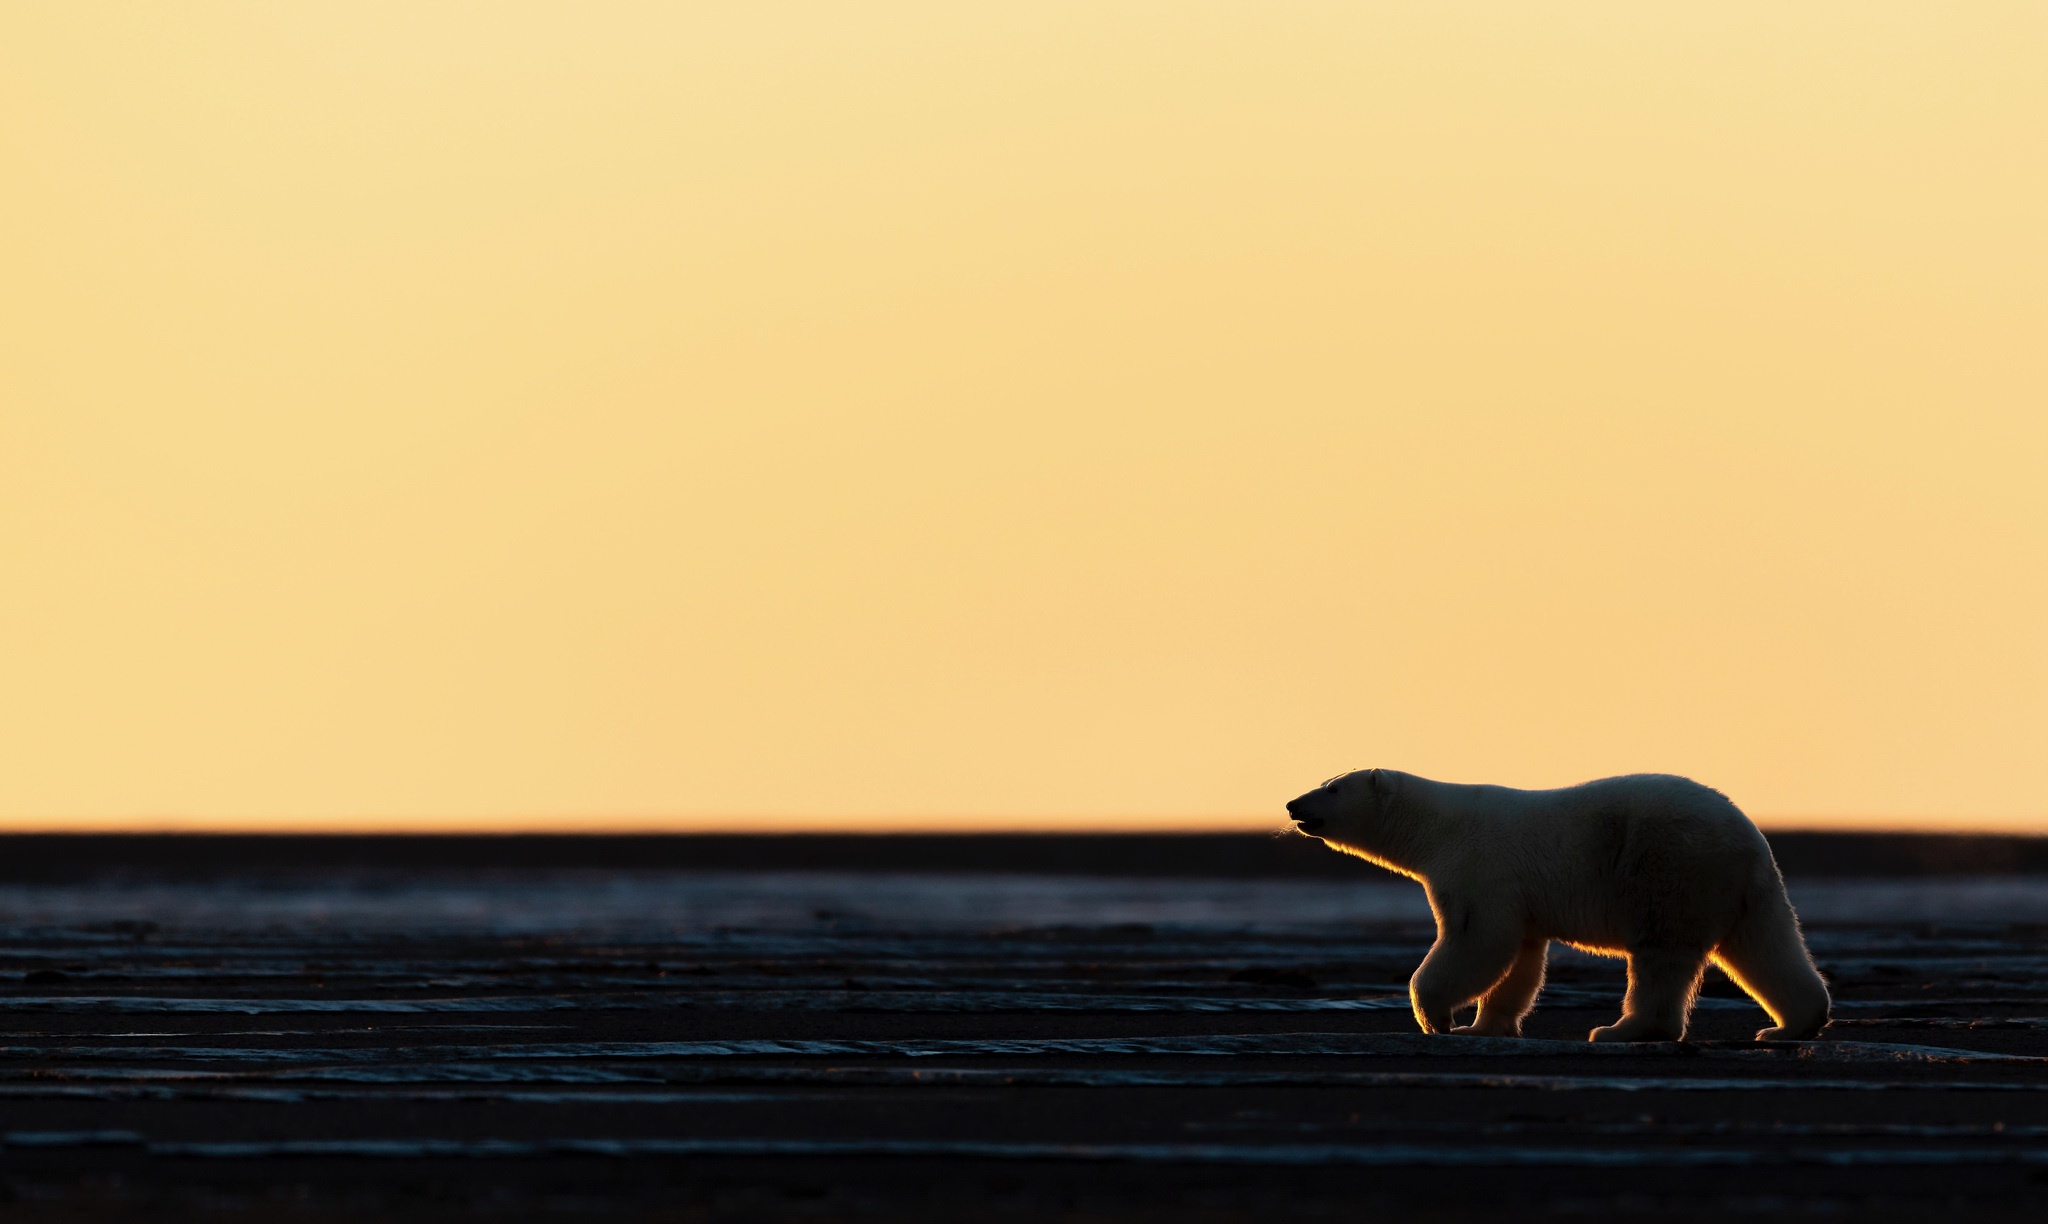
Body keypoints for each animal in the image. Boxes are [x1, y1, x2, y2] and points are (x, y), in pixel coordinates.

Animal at [1285, 769, 1830, 1043]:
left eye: (1332, 787)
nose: (1292, 804)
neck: (1437, 826)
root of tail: (1748, 839)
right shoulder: (1519, 900)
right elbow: (1520, 958)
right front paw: (1488, 1026)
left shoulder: (1478, 868)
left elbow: (1476, 940)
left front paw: (1439, 1020)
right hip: (1745, 890)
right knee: (1766, 946)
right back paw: (1789, 1026)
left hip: (1669, 871)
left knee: (1661, 958)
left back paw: (1621, 1029)